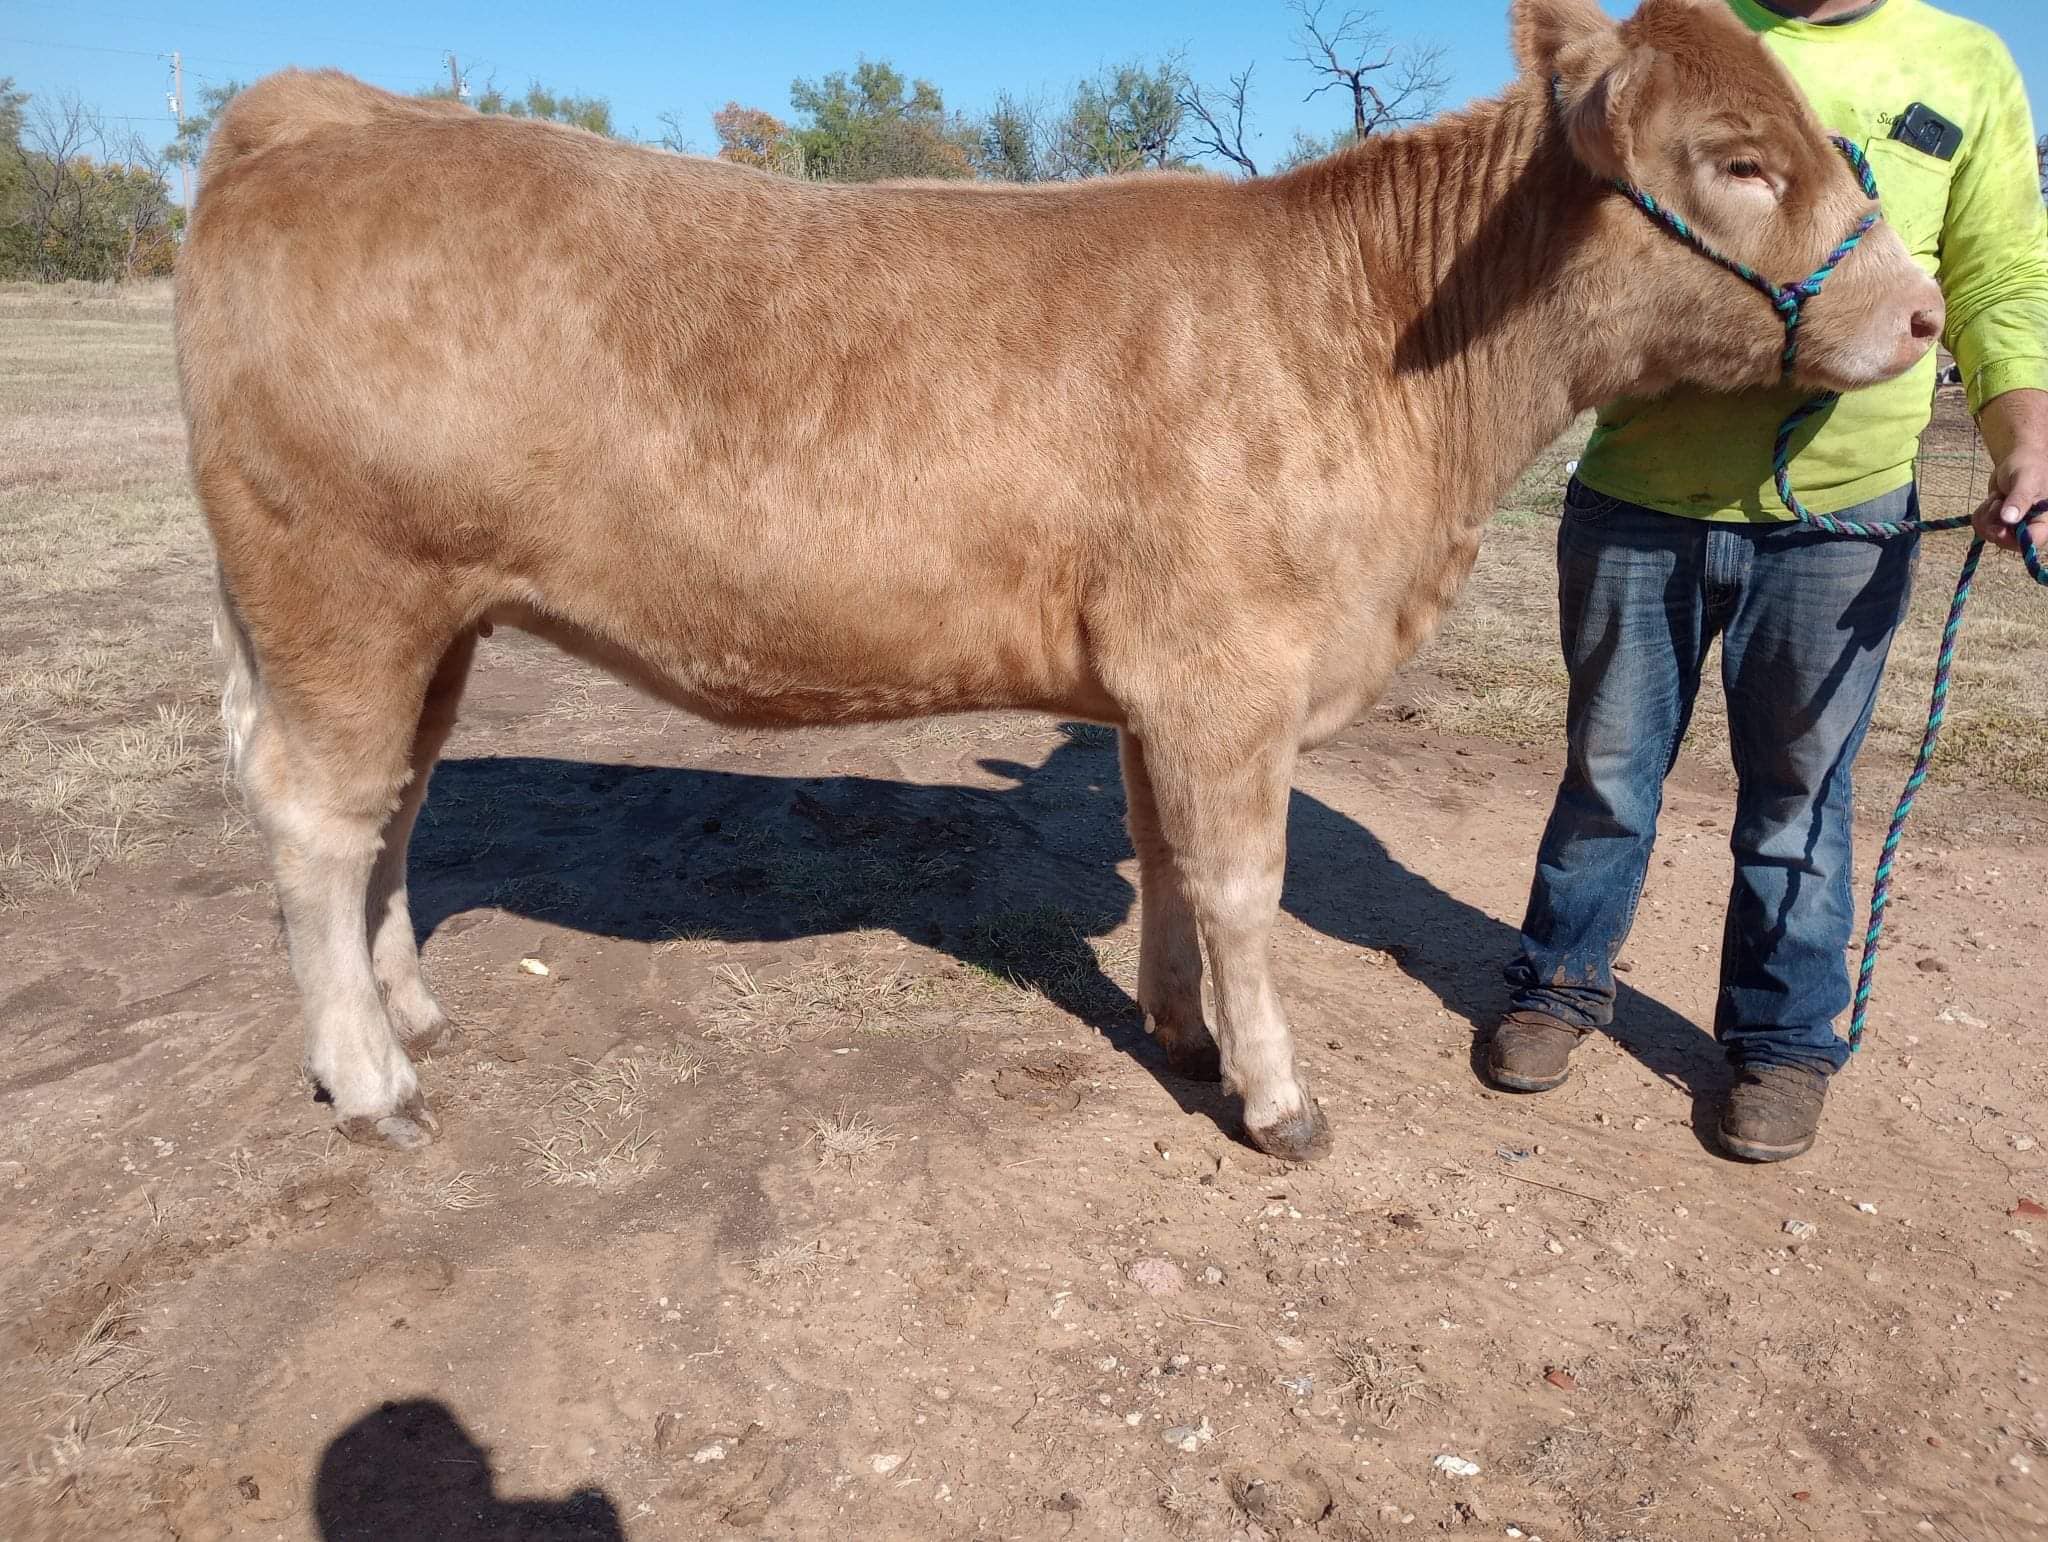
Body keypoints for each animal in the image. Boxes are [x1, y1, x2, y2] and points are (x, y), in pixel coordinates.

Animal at [175, 0, 1943, 1159]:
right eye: (1738, 160)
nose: (1924, 313)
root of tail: (328, 112)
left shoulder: (1158, 685)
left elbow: (1165, 863)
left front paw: (1184, 1028)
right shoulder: (1231, 674)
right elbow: (1243, 884)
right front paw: (1280, 1098)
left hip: (434, 620)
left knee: (395, 804)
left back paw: (407, 1014)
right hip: (344, 591)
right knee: (320, 819)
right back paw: (373, 1081)